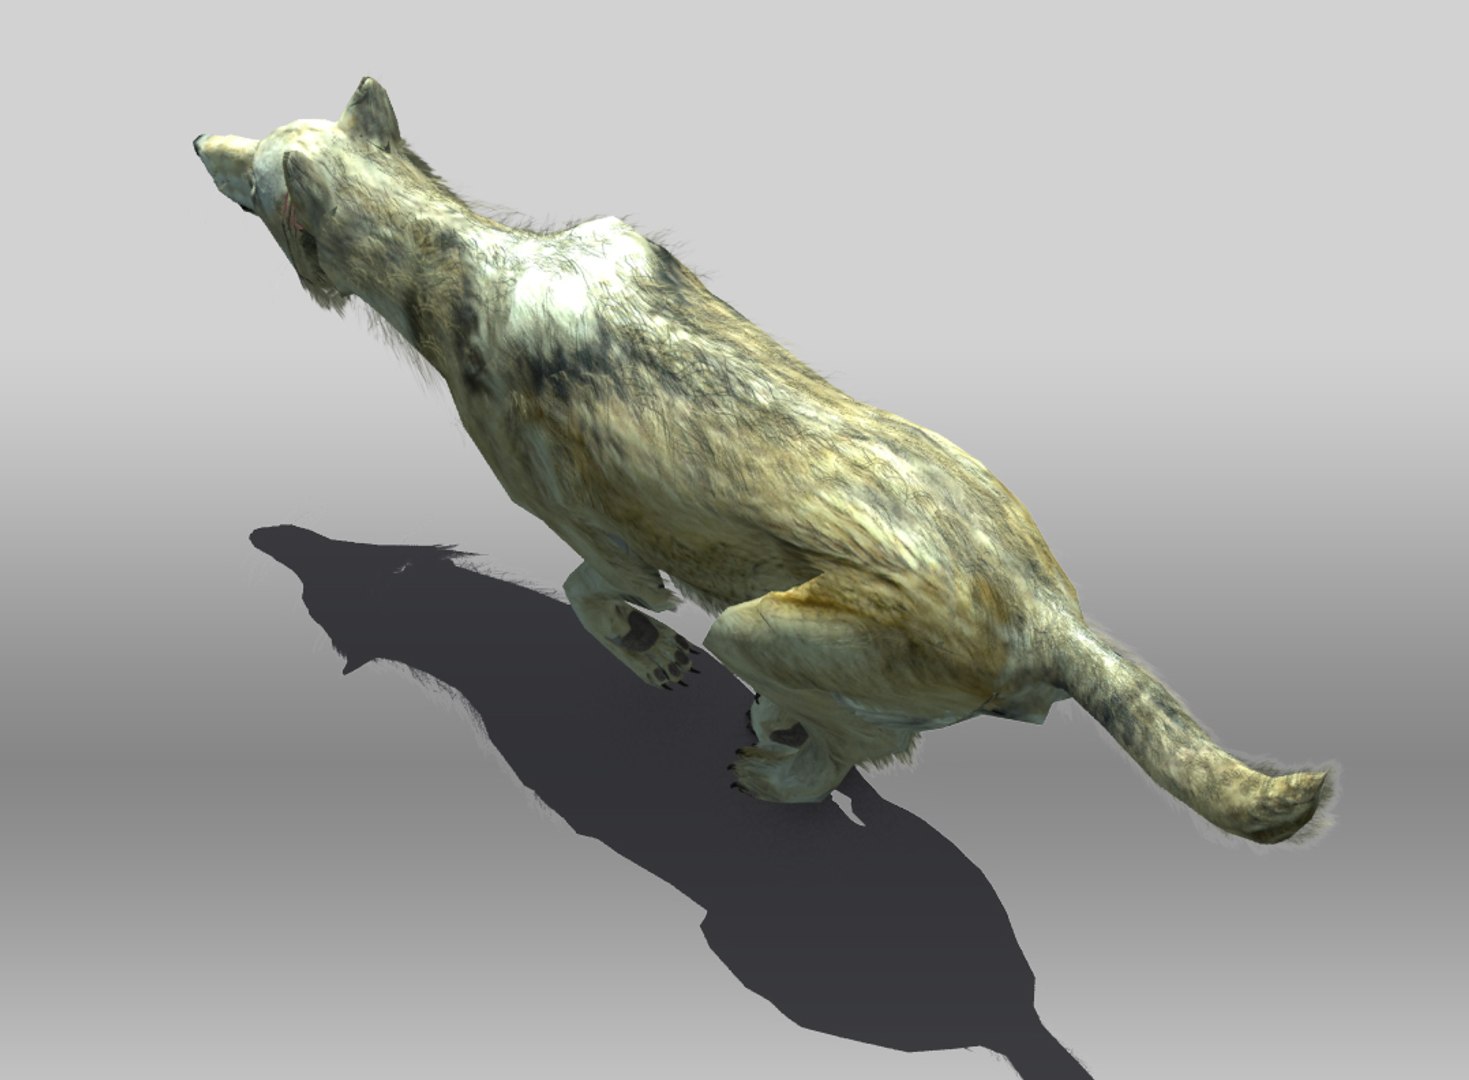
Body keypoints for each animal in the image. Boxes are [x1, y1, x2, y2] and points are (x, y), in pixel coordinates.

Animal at [197, 77, 1334, 844]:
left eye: (249, 173)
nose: (195, 136)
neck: (459, 254)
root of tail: (1047, 616)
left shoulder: (604, 544)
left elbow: (586, 597)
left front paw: (647, 654)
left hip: (752, 627)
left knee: (836, 751)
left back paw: (770, 765)